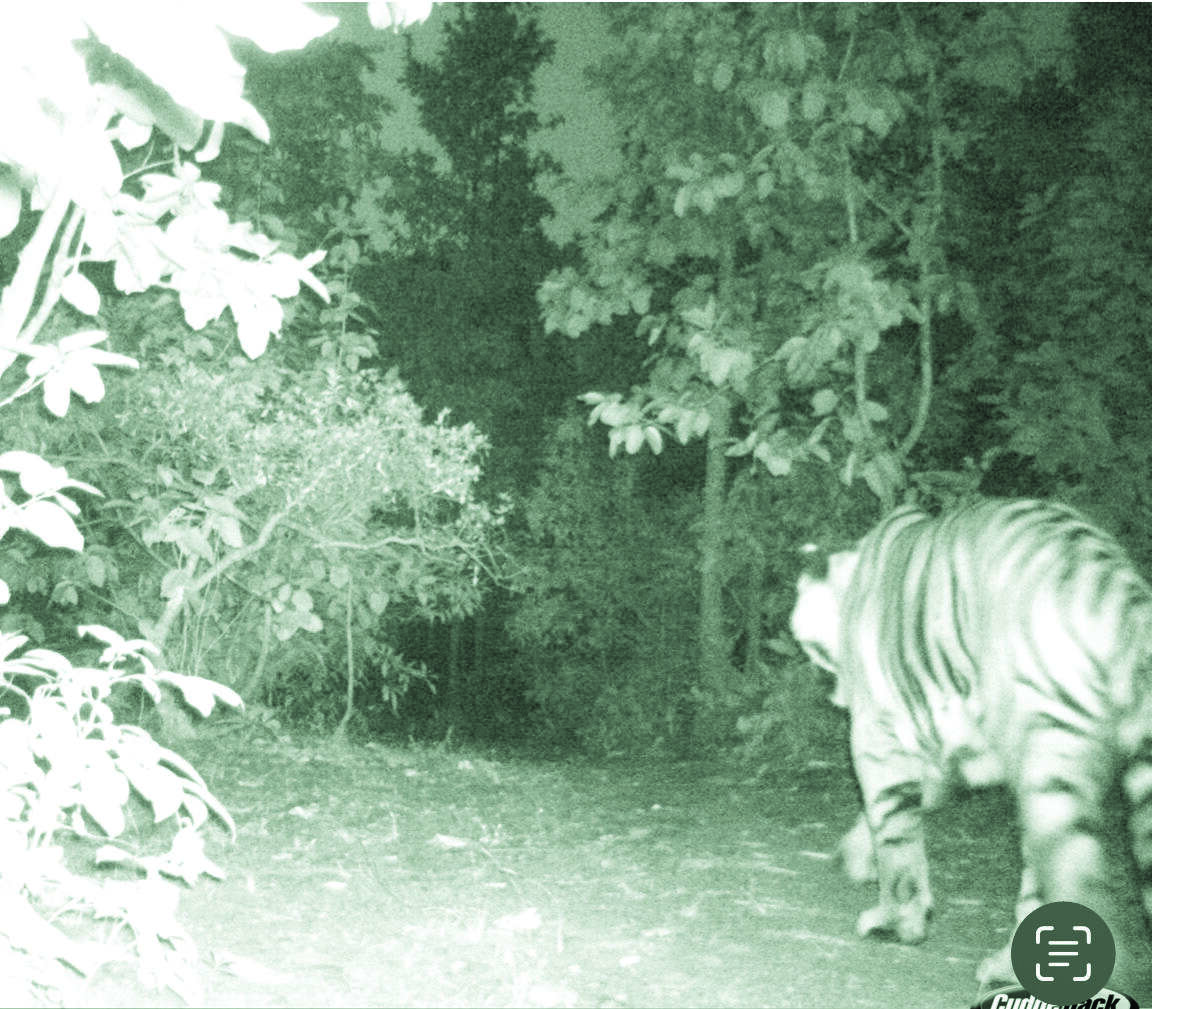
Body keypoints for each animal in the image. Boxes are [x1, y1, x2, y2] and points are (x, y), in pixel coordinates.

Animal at [789, 498, 1151, 988]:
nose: (833, 694)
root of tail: (1117, 587)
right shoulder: (949, 750)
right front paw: (853, 857)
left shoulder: (878, 735)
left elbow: (894, 832)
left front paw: (895, 919)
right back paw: (1007, 965)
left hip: (1049, 755)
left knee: (1072, 871)